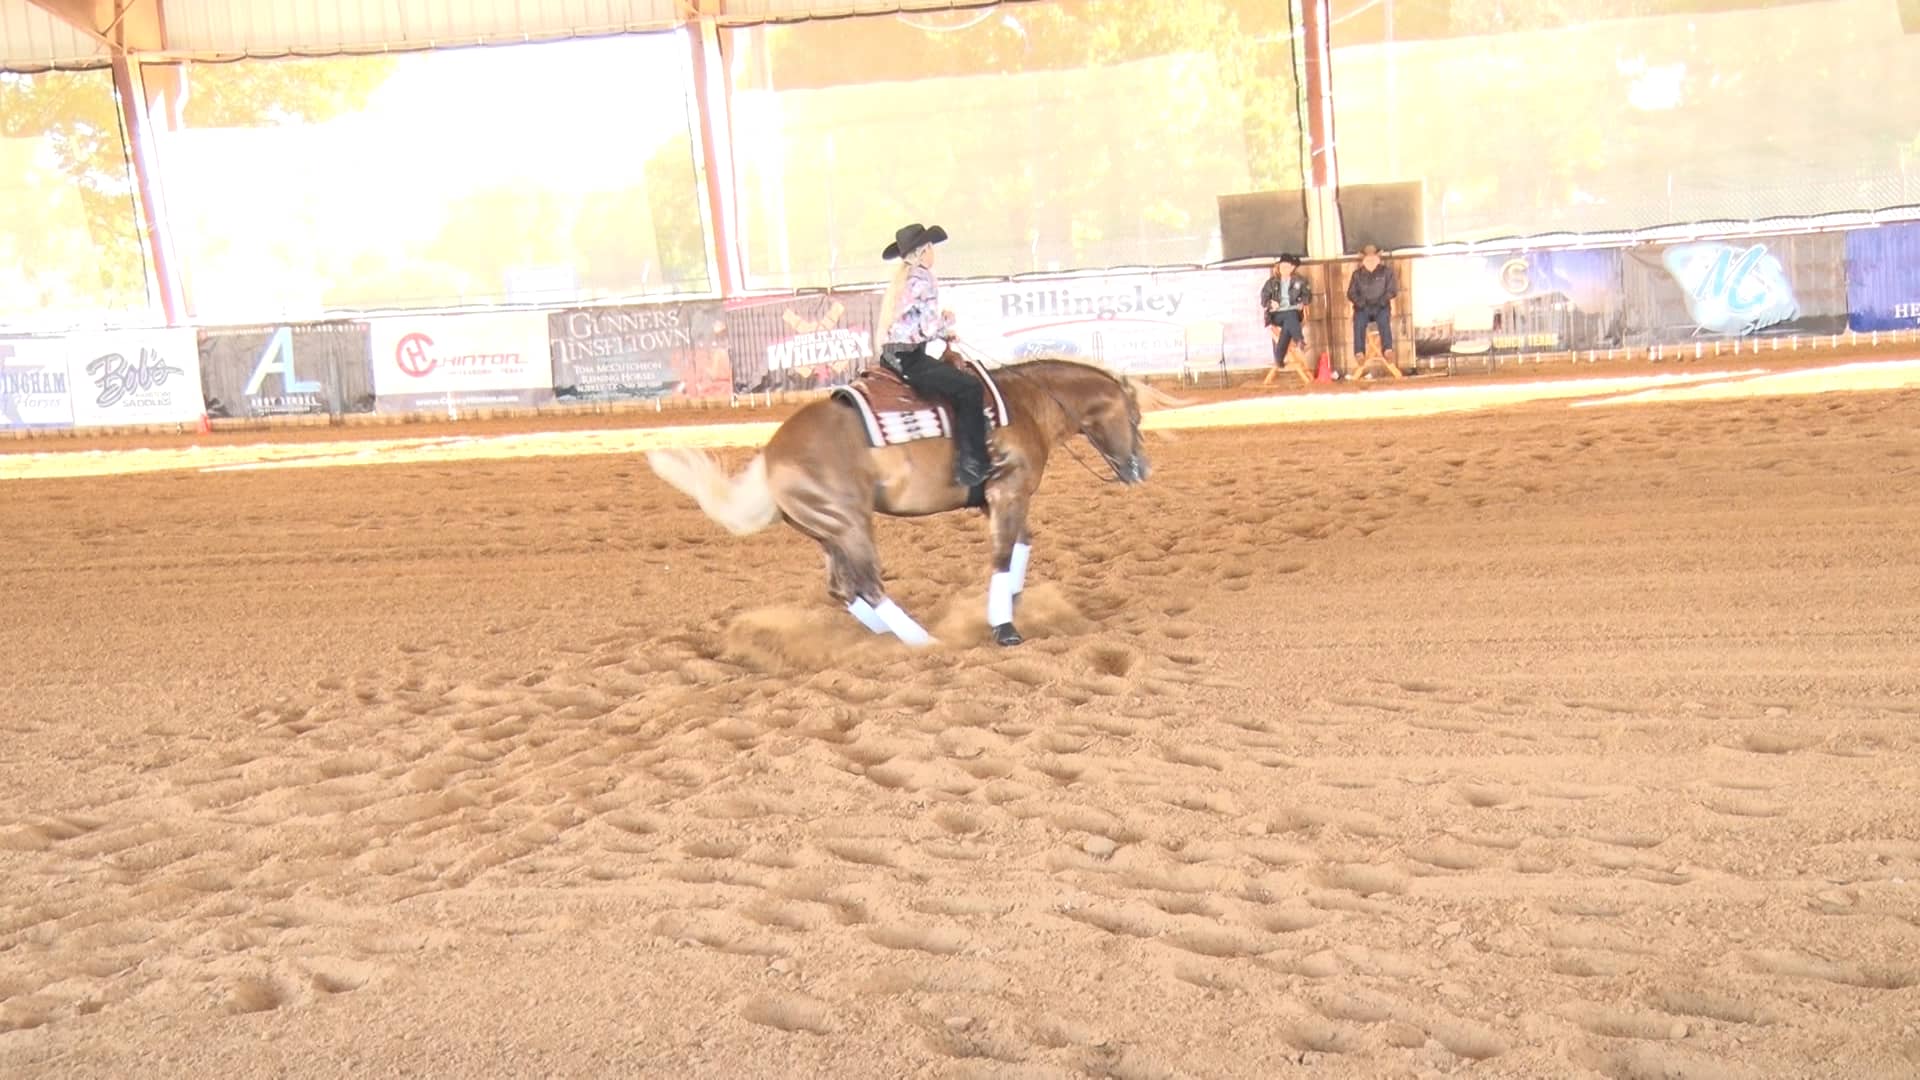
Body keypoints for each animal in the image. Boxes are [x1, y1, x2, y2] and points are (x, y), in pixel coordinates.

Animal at [645, 352, 1175, 648]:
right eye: (1135, 418)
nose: (1141, 469)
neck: (1024, 405)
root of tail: (772, 454)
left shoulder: (1004, 499)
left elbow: (1022, 545)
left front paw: (1012, 602)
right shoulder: (1008, 492)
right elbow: (1003, 556)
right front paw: (1004, 626)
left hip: (826, 531)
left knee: (843, 588)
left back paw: (886, 633)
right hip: (850, 525)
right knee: (867, 584)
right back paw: (921, 640)